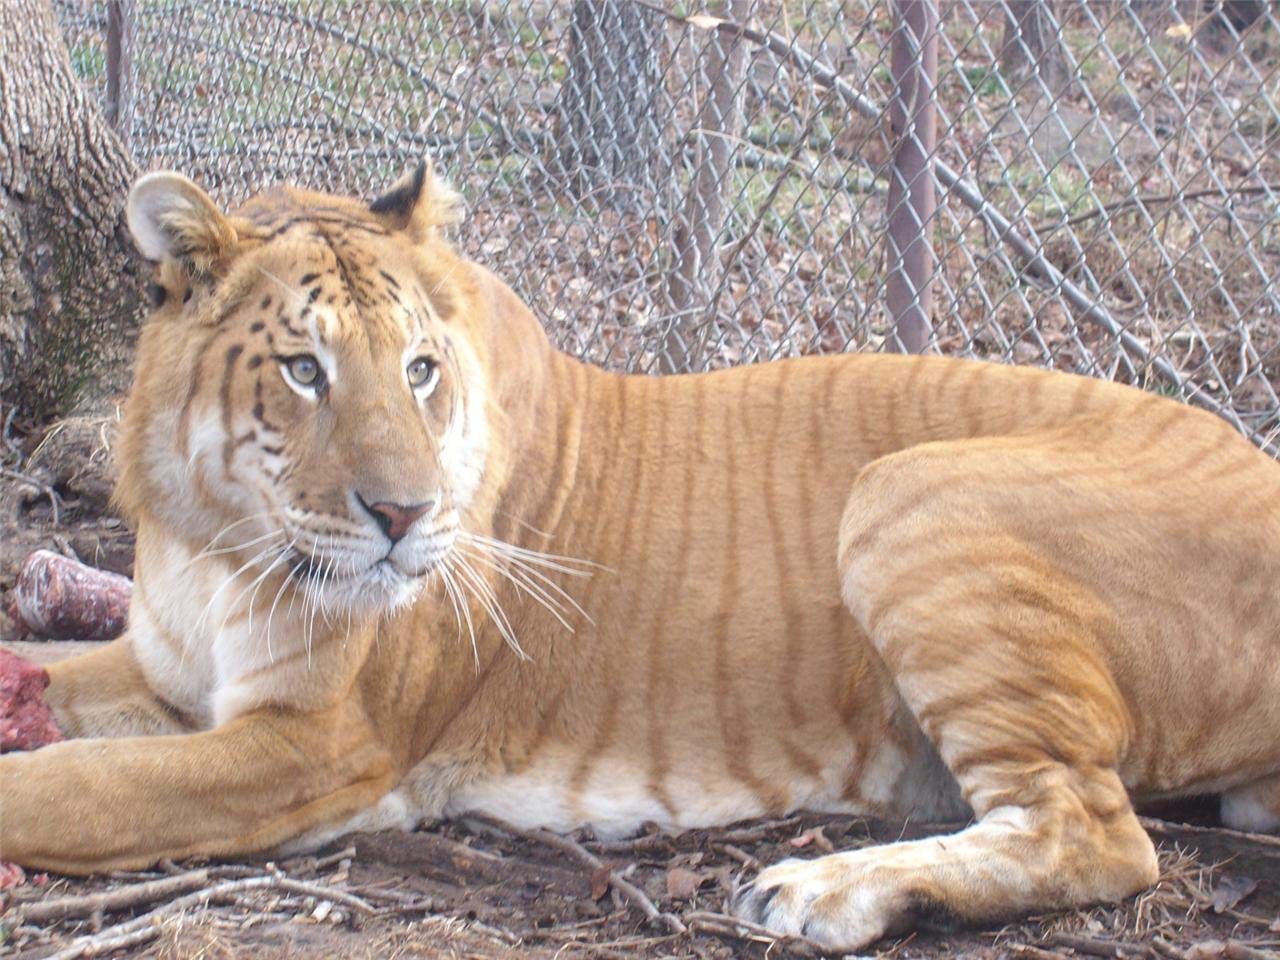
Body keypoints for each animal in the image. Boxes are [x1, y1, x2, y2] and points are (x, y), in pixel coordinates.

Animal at [2, 162, 1278, 953]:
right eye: (304, 371)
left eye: (418, 369)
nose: (405, 516)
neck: (214, 538)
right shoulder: (162, 670)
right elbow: (45, 686)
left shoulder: (312, 745)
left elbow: (76, 786)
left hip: (910, 490)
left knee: (1095, 834)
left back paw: (821, 888)